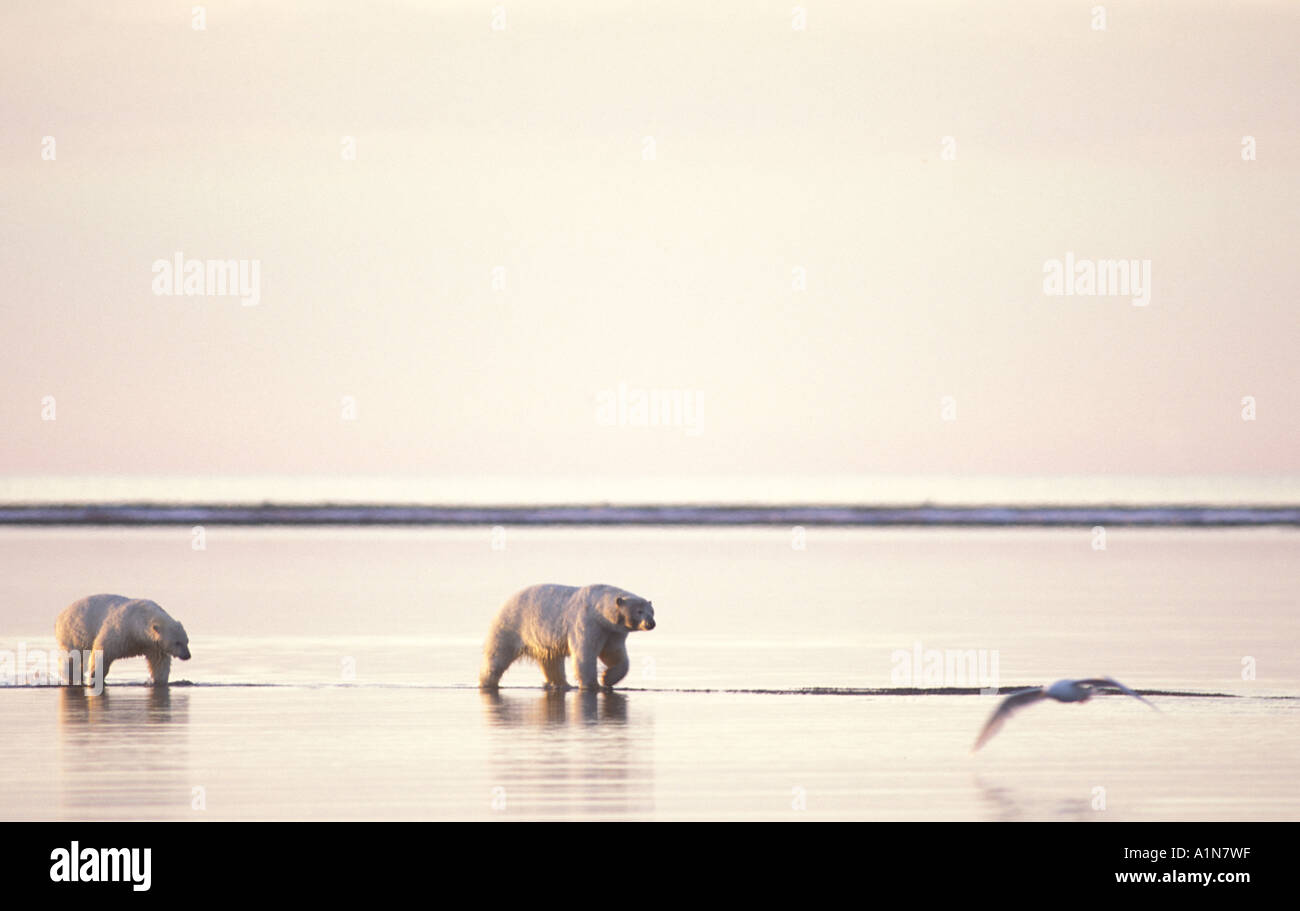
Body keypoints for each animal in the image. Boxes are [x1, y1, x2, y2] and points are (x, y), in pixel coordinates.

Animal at [55, 594, 191, 687]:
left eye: (186, 641)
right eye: (177, 642)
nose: (187, 655)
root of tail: (61, 614)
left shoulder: (152, 645)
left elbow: (159, 662)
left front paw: (159, 680)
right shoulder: (119, 630)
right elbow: (102, 651)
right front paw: (94, 677)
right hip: (74, 633)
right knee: (71, 657)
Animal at [479, 583, 655, 691]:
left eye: (652, 611)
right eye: (639, 611)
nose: (651, 623)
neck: (599, 610)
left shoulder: (612, 632)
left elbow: (614, 655)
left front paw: (607, 678)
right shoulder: (587, 622)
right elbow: (584, 654)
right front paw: (593, 685)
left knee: (551, 661)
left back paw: (562, 684)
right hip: (511, 625)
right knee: (497, 656)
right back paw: (487, 682)